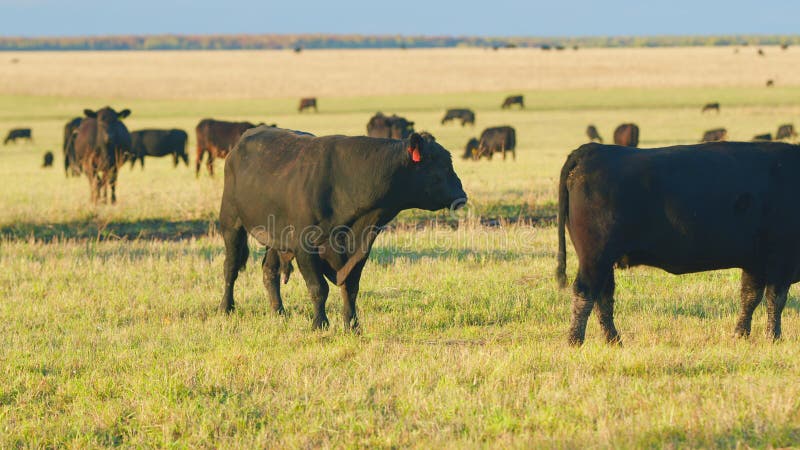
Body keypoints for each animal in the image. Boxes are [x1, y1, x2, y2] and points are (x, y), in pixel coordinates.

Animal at [218, 127, 467, 331]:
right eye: (440, 165)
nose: (461, 195)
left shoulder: (359, 251)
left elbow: (351, 287)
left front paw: (352, 324)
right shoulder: (305, 246)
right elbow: (318, 288)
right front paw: (320, 324)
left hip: (275, 237)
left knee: (269, 271)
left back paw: (278, 312)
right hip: (231, 223)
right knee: (230, 267)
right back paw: (226, 307)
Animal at [556, 141, 800, 346]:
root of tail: (593, 149)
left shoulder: (755, 263)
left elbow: (750, 297)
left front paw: (740, 335)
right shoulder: (781, 259)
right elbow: (775, 299)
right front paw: (774, 338)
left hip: (605, 261)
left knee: (603, 297)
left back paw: (614, 341)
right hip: (595, 256)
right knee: (585, 292)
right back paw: (575, 341)